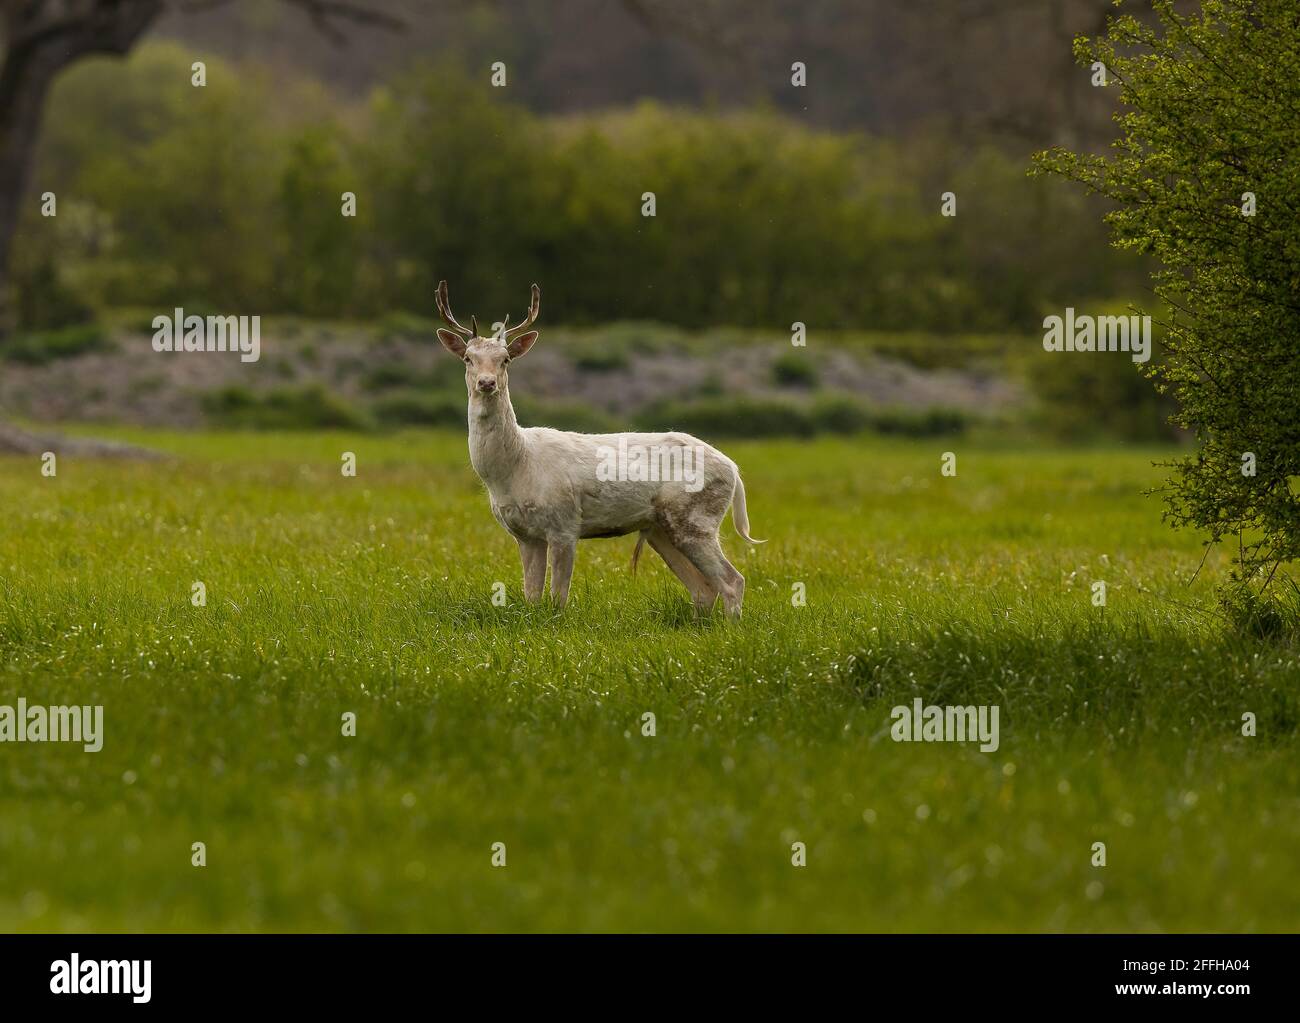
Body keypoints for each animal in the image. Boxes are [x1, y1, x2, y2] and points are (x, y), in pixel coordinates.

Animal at [434, 281, 763, 619]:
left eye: (505, 359)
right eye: (468, 358)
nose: (487, 383)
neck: (514, 469)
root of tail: (734, 470)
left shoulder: (565, 523)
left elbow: (558, 597)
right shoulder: (524, 534)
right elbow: (531, 597)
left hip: (697, 518)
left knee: (732, 581)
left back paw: (731, 626)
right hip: (661, 528)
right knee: (703, 589)